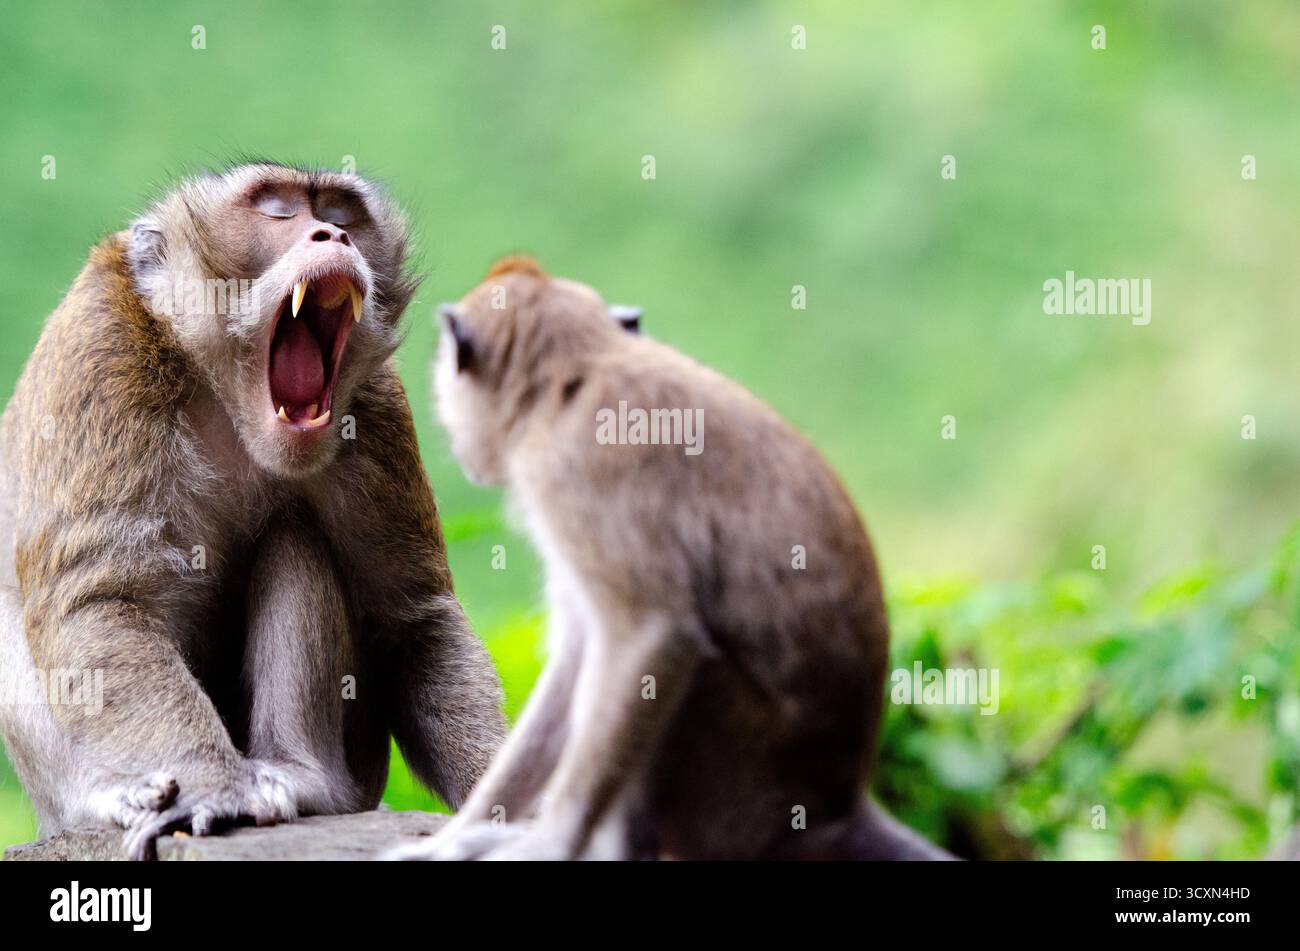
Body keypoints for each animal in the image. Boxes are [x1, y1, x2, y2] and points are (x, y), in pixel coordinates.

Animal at [0, 163, 506, 860]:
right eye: (276, 208)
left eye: (341, 213)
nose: (332, 236)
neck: (226, 399)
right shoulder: (102, 348)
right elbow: (101, 600)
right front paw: (212, 785)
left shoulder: (376, 407)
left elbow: (415, 619)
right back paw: (110, 797)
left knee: (295, 532)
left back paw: (304, 778)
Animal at [393, 255, 951, 860]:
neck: (574, 374)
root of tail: (839, 809)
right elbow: (578, 653)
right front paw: (460, 833)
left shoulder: (577, 473)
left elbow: (650, 635)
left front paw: (550, 842)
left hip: (734, 795)